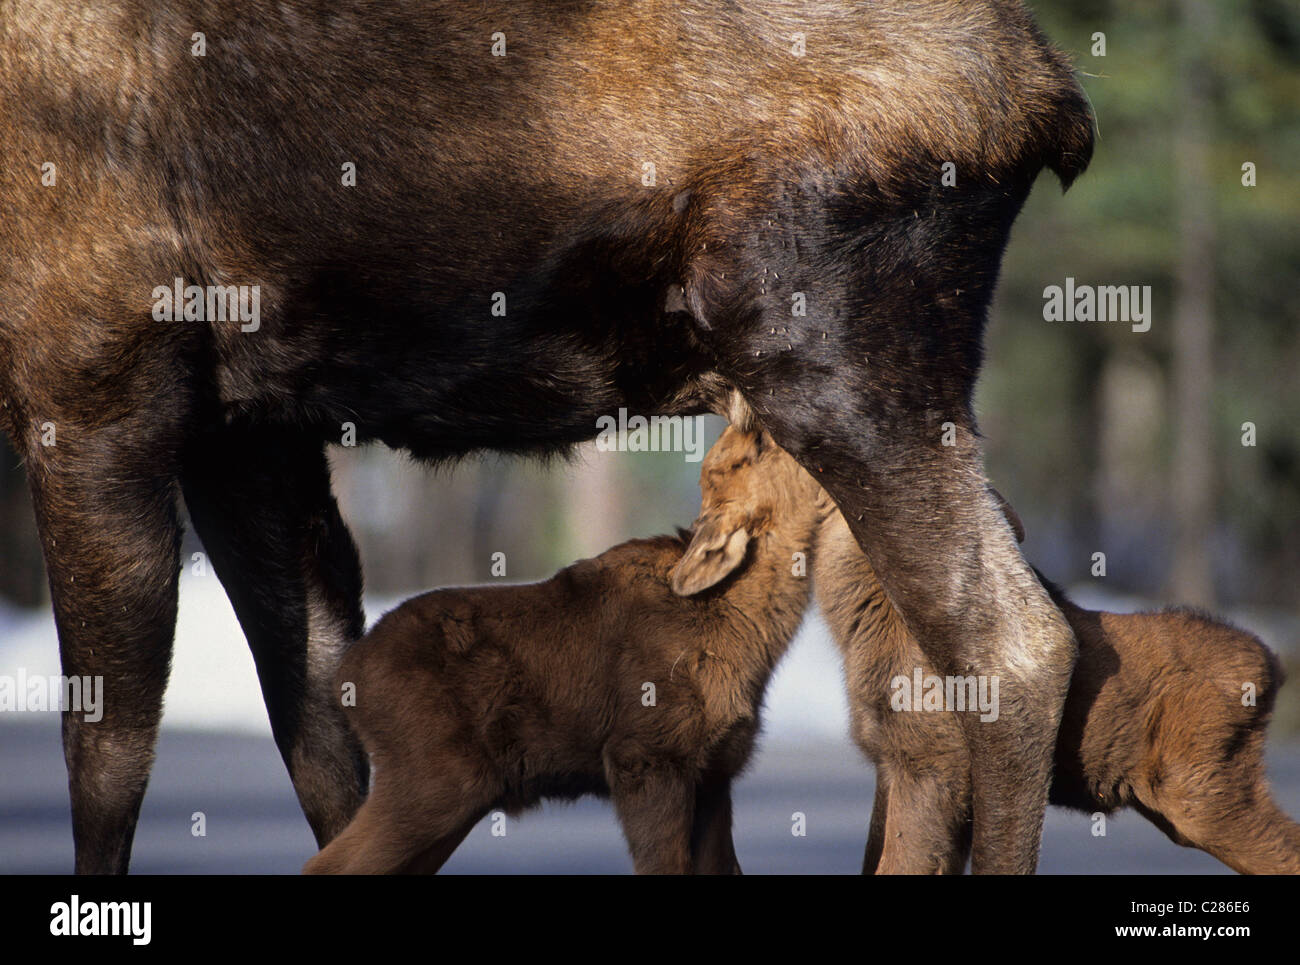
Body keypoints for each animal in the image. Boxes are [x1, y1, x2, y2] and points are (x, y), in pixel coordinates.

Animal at [1, 0, 1093, 872]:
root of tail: (1050, 99)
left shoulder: (93, 379)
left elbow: (106, 752)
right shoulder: (249, 429)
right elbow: (317, 726)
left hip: (833, 353)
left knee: (1014, 645)